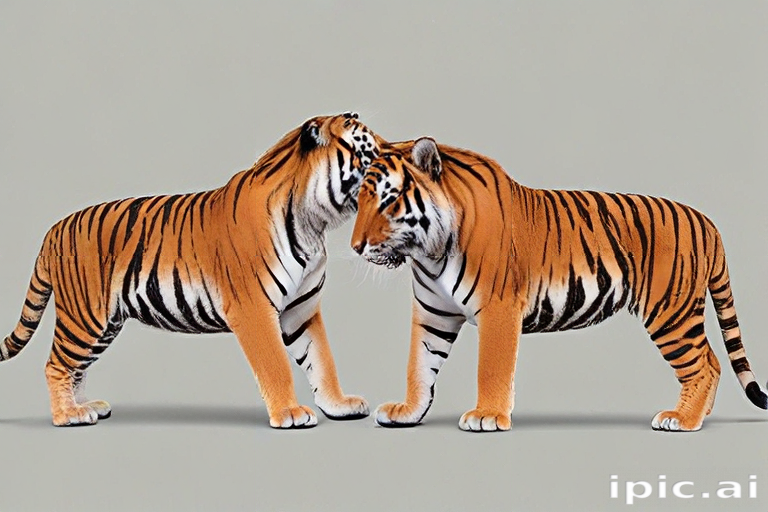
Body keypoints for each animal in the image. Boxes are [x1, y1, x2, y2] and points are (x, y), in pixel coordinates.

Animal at [1, 112, 379, 428]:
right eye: (370, 150)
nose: (391, 159)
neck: (313, 222)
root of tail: (54, 228)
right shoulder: (254, 308)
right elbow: (276, 364)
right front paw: (290, 412)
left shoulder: (302, 309)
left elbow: (322, 359)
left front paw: (338, 405)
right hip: (84, 317)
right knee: (56, 365)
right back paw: (68, 416)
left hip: (105, 325)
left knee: (76, 368)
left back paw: (86, 406)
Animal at [351, 136, 768, 432]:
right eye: (358, 200)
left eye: (388, 200)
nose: (355, 247)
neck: (431, 252)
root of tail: (707, 221)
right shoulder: (432, 314)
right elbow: (418, 365)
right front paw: (408, 412)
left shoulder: (498, 308)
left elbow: (491, 366)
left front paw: (486, 416)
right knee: (711, 362)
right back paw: (694, 415)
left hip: (670, 312)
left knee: (705, 365)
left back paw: (682, 420)